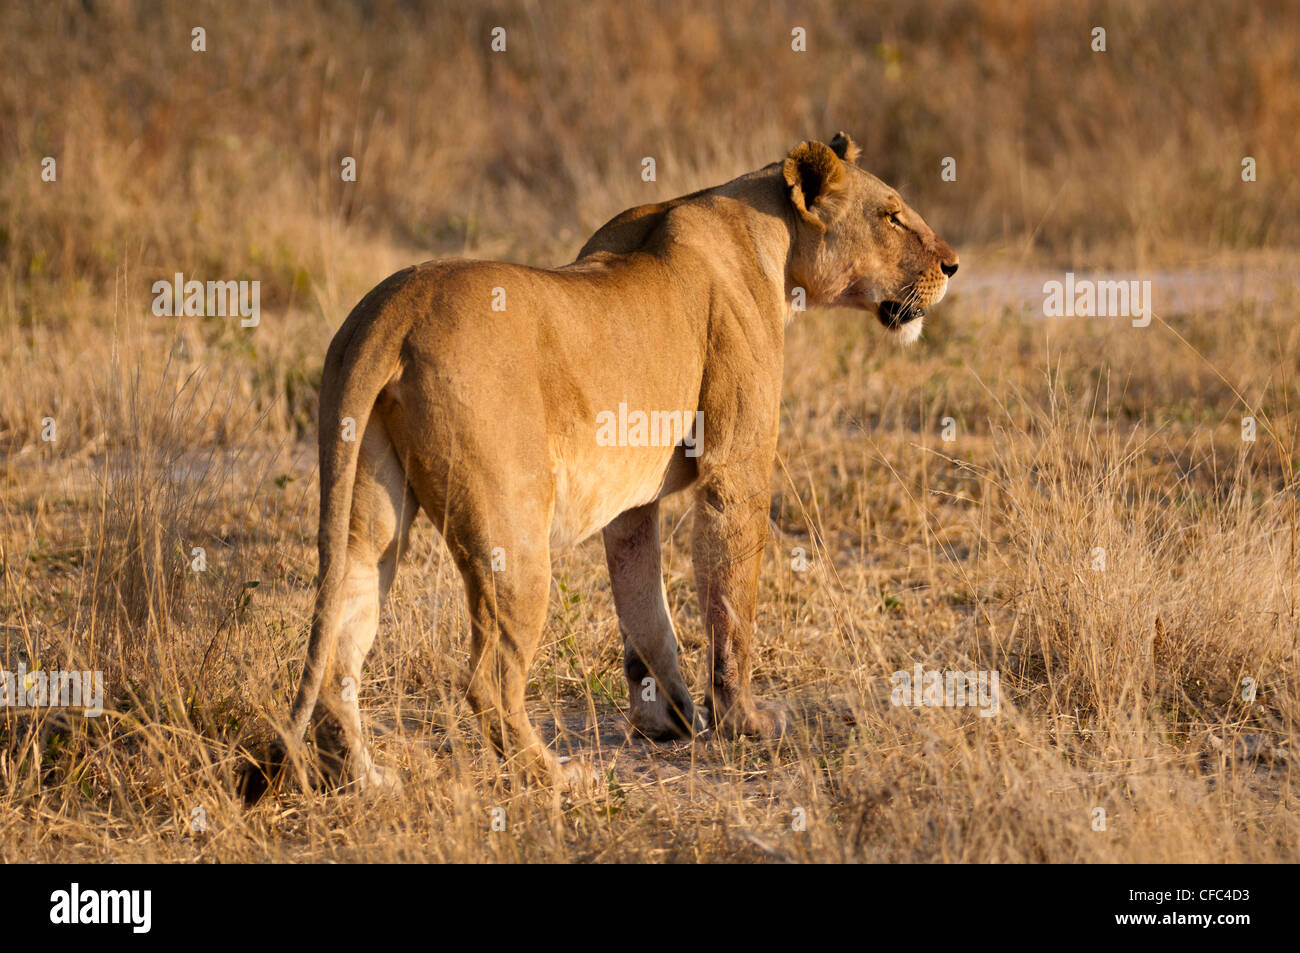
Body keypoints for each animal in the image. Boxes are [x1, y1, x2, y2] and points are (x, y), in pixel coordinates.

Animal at [279, 132, 957, 792]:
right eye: (893, 215)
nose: (952, 265)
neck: (773, 236)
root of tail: (394, 307)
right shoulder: (735, 467)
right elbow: (730, 600)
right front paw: (744, 724)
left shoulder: (632, 502)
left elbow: (645, 610)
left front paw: (668, 721)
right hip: (512, 530)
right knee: (488, 678)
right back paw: (557, 778)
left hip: (367, 507)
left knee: (342, 649)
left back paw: (370, 780)